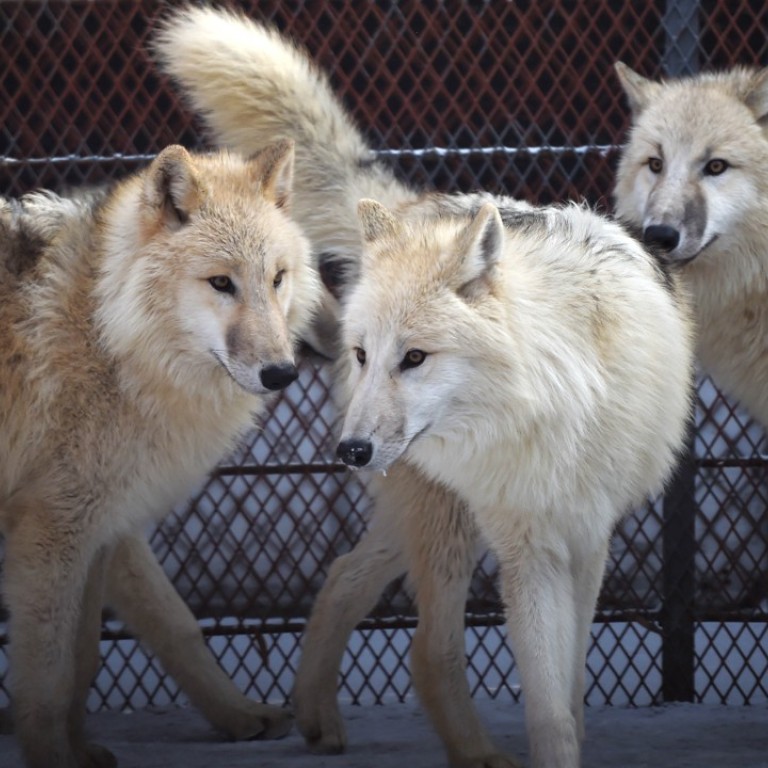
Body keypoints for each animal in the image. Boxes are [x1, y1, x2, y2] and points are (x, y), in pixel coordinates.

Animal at [0, 140, 319, 768]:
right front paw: (51, 754)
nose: (282, 373)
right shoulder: (50, 530)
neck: (105, 332)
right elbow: (47, 674)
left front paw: (240, 714)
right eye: (221, 283)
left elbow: (144, 635)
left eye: (276, 279)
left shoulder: (105, 525)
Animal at [152, 7, 692, 768]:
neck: (554, 399)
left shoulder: (585, 541)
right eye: (364, 354)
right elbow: (547, 707)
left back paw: (319, 720)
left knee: (343, 577)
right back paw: (470, 751)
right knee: (427, 649)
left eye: (414, 357)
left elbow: (571, 693)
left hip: (421, 517)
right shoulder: (527, 549)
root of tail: (424, 206)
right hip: (445, 521)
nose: (347, 450)